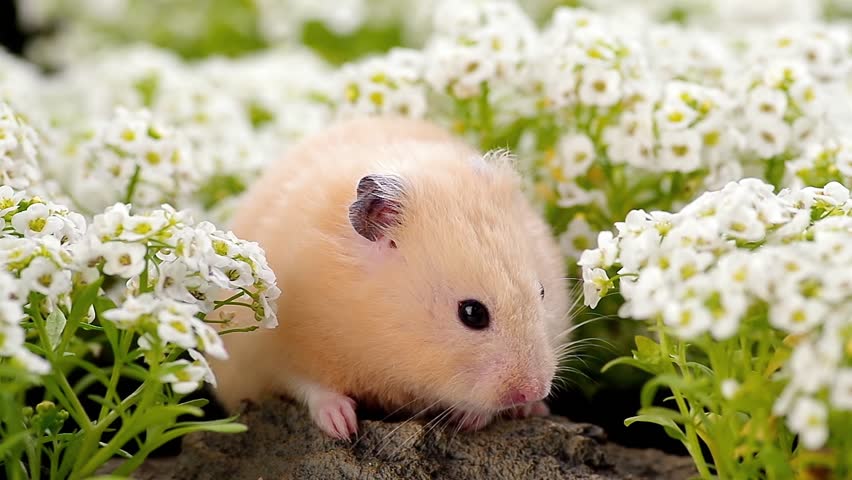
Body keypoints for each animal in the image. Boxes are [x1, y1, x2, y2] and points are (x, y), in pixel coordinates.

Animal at [207, 116, 571, 440]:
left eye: (541, 292)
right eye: (472, 313)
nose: (534, 390)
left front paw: (473, 418)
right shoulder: (274, 349)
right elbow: (307, 385)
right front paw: (343, 428)